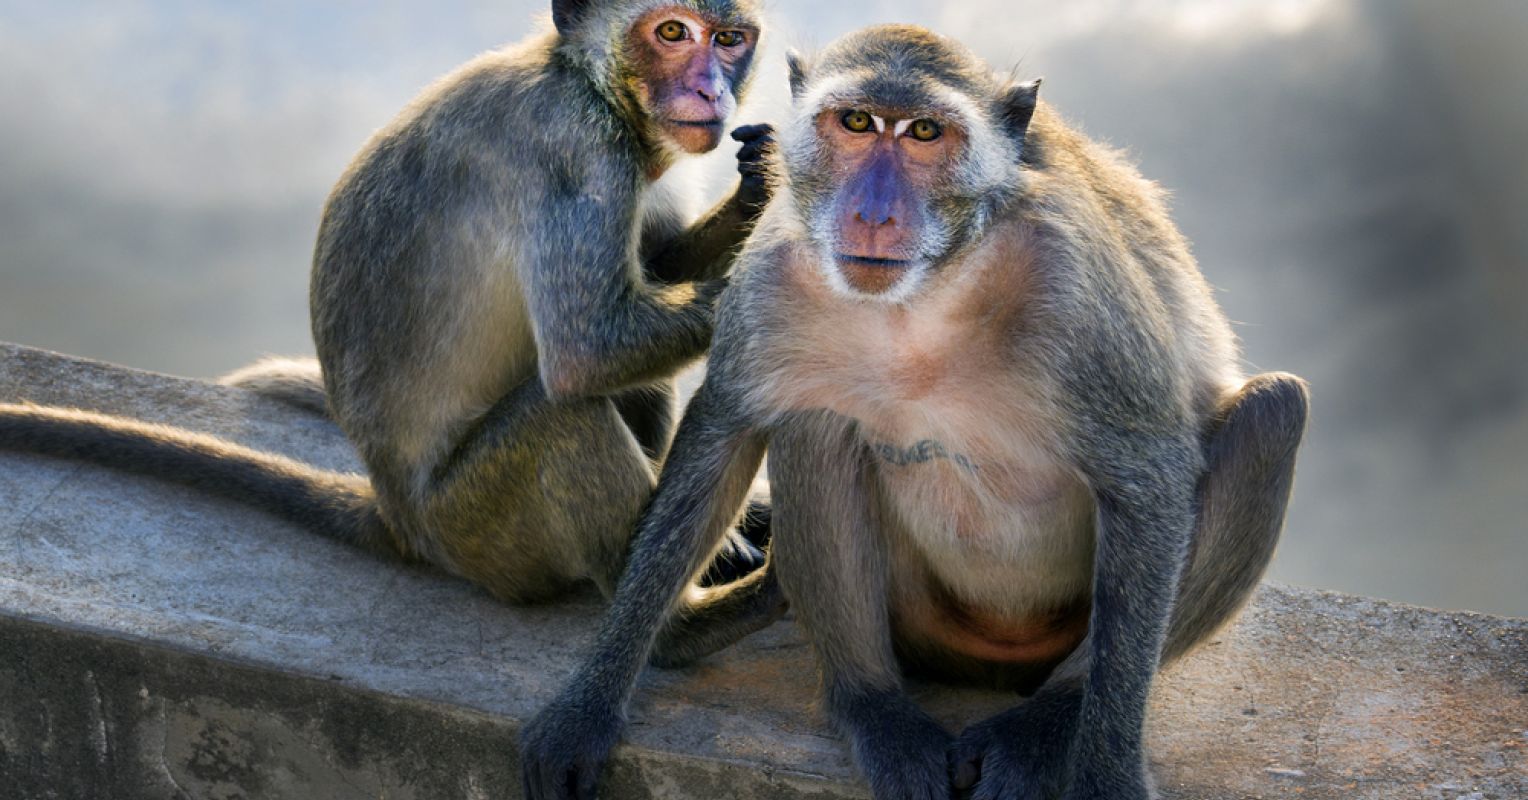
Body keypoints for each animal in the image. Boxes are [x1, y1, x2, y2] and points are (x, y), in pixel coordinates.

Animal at [0, 0, 789, 630]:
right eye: (670, 32)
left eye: (729, 39)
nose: (708, 88)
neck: (587, 84)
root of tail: (398, 515)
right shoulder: (578, 152)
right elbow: (584, 350)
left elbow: (649, 275)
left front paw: (762, 191)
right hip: (478, 525)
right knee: (562, 412)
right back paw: (683, 627)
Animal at [518, 24, 1310, 800]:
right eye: (856, 122)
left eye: (926, 132)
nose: (873, 212)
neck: (927, 294)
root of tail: (992, 663)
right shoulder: (771, 272)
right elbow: (721, 443)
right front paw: (588, 705)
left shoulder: (1078, 287)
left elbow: (1147, 480)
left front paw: (1107, 770)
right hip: (922, 626)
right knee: (814, 417)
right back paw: (873, 706)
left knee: (1273, 414)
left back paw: (1048, 718)